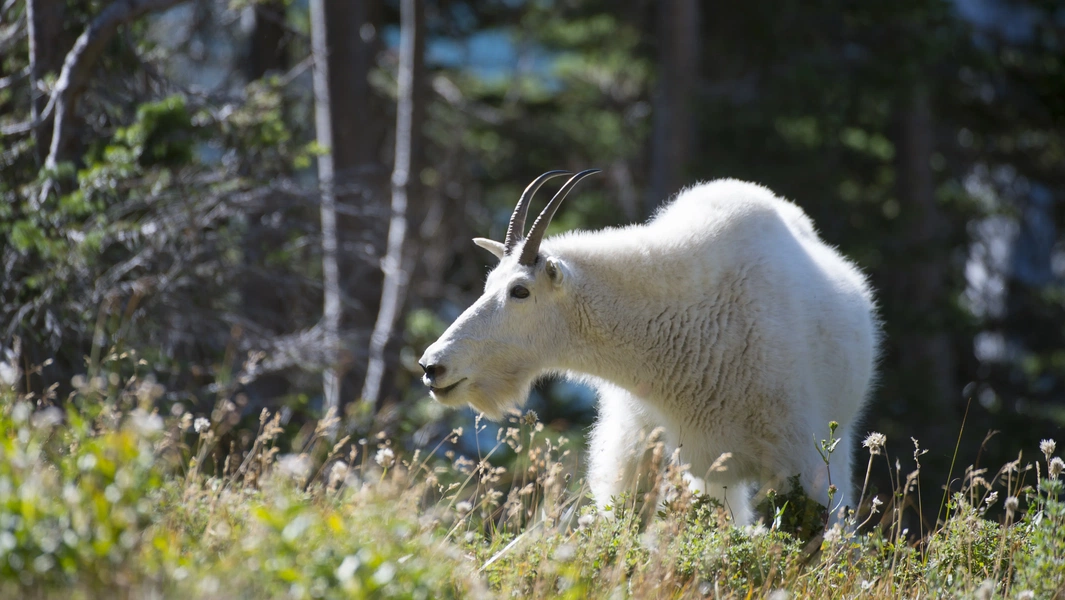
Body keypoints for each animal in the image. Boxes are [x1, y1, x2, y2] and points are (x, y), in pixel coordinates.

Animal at [419, 170, 880, 524]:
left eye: (519, 291)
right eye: (488, 284)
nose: (432, 366)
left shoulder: (801, 461)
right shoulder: (637, 448)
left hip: (831, 447)